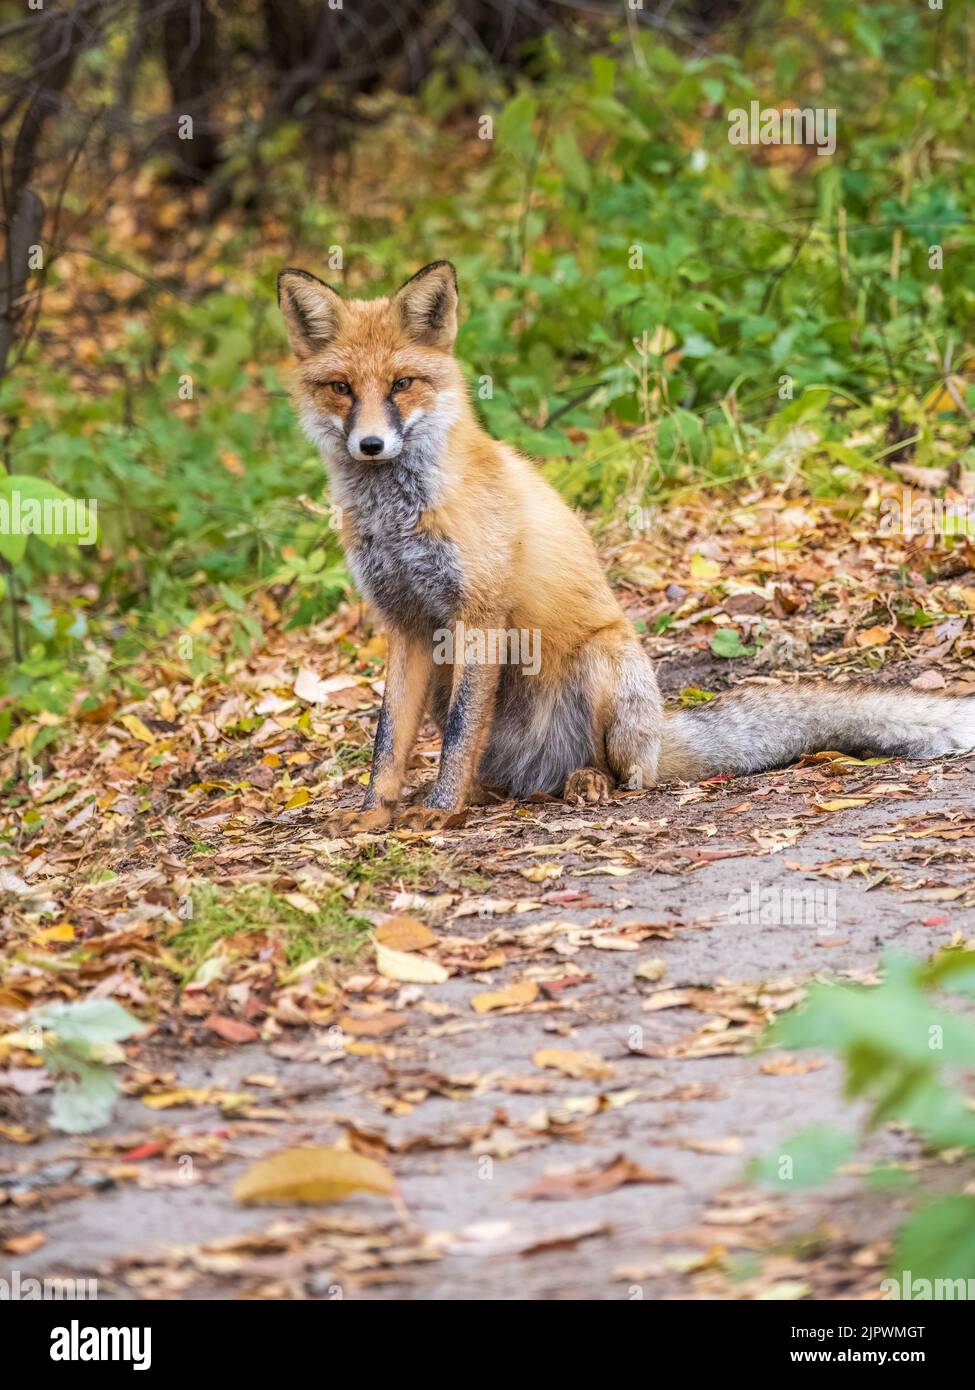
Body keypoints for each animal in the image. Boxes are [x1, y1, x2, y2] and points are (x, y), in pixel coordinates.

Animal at [277, 259, 975, 829]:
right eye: (342, 388)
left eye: (402, 384)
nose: (370, 445)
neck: (398, 517)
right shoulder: (408, 624)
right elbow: (388, 741)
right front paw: (376, 813)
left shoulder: (479, 614)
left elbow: (457, 735)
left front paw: (441, 812)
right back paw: (489, 793)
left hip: (604, 664)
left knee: (624, 777)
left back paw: (582, 782)